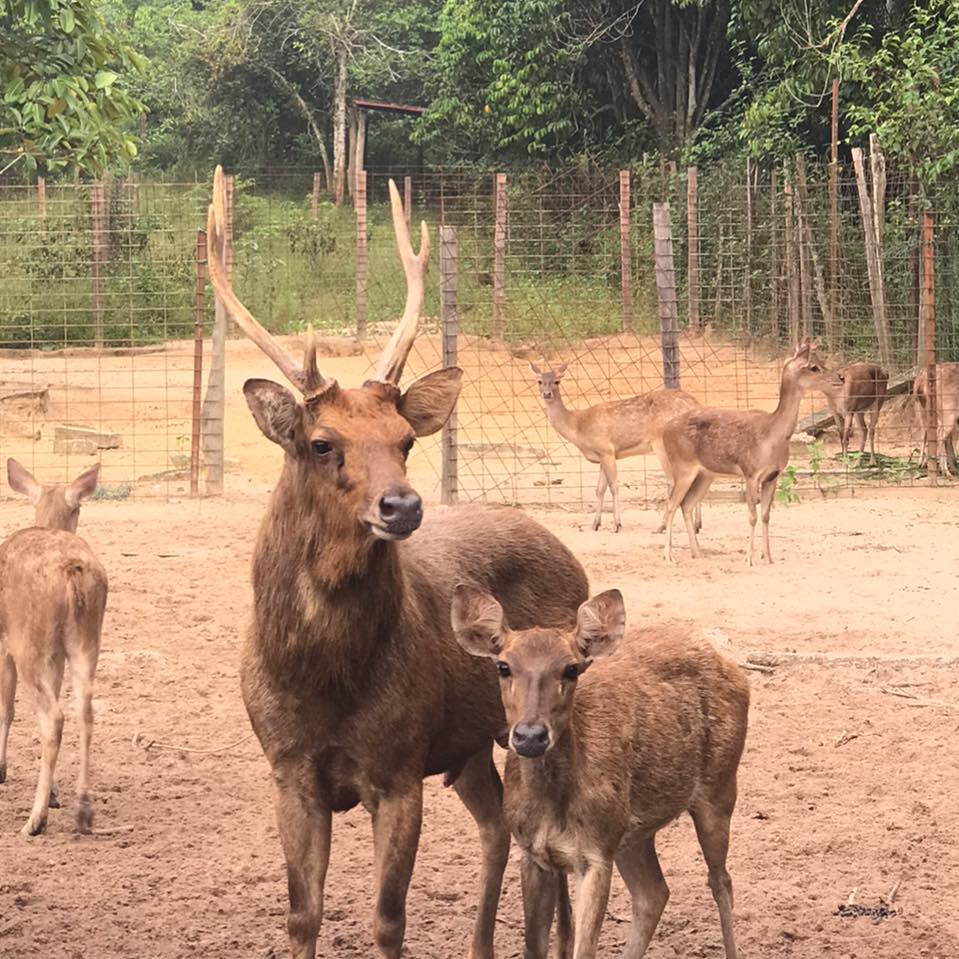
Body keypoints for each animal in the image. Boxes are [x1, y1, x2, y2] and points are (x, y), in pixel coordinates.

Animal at [0, 459, 106, 836]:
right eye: (78, 508)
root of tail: (70, 571)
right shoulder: (56, 654)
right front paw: (56, 792)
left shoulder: (5, 645)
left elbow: (6, 709)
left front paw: (1, 771)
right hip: (86, 641)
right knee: (84, 711)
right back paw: (83, 810)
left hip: (27, 643)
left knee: (54, 716)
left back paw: (35, 819)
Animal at [203, 167, 589, 959]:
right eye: (321, 442)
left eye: (405, 439)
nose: (402, 505)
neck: (324, 677)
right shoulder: (288, 768)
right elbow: (303, 914)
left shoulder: (400, 766)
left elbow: (388, 918)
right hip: (470, 744)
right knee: (496, 826)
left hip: (519, 725)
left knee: (537, 845)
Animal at [451, 585, 749, 959]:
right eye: (503, 666)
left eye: (571, 668)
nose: (530, 735)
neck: (554, 809)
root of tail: (728, 659)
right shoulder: (533, 853)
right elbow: (534, 948)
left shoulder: (595, 854)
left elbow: (584, 949)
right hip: (632, 831)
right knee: (653, 892)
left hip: (720, 786)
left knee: (720, 880)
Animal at [529, 363, 702, 534]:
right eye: (539, 381)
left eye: (557, 381)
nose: (547, 393)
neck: (577, 427)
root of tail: (695, 404)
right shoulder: (602, 456)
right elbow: (599, 489)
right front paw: (595, 524)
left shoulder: (606, 449)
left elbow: (614, 486)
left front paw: (616, 524)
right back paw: (697, 525)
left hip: (661, 443)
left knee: (671, 481)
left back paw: (662, 526)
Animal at [660, 338, 828, 565]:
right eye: (813, 367)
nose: (840, 377)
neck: (773, 436)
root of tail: (663, 432)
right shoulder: (750, 472)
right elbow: (752, 516)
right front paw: (750, 558)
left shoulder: (773, 476)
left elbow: (766, 515)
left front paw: (769, 557)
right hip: (682, 468)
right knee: (670, 505)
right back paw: (668, 555)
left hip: (705, 474)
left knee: (685, 504)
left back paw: (698, 552)